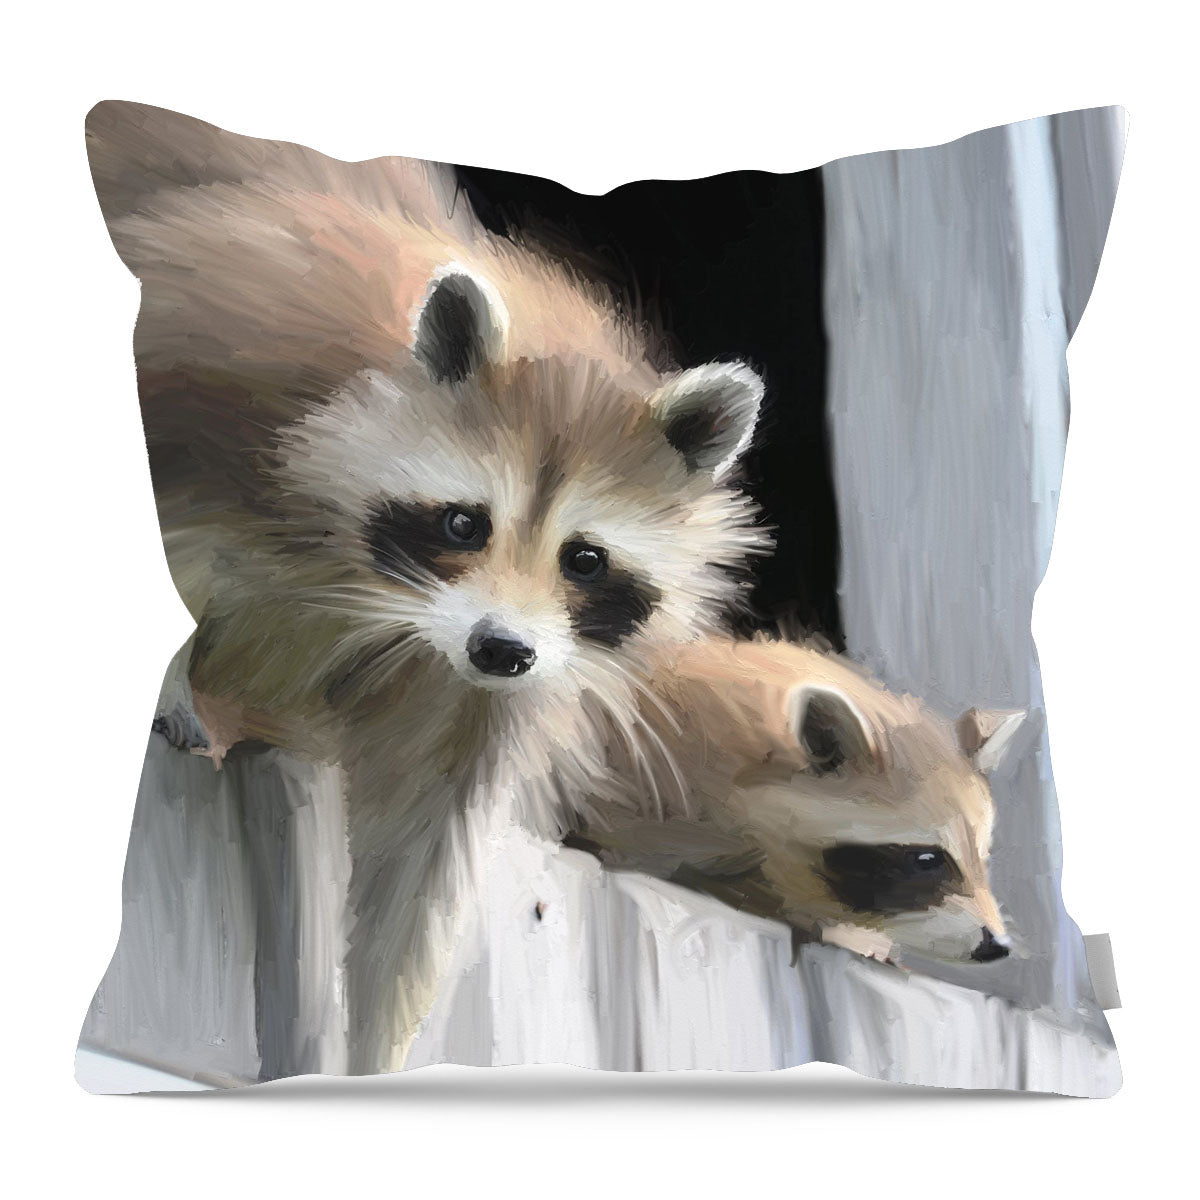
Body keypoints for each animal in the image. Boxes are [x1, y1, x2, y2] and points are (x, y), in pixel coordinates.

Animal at [85, 103, 770, 1073]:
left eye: (585, 560)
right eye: (462, 524)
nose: (502, 648)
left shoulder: (479, 685)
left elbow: (421, 847)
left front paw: (377, 1040)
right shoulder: (214, 373)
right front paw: (169, 672)